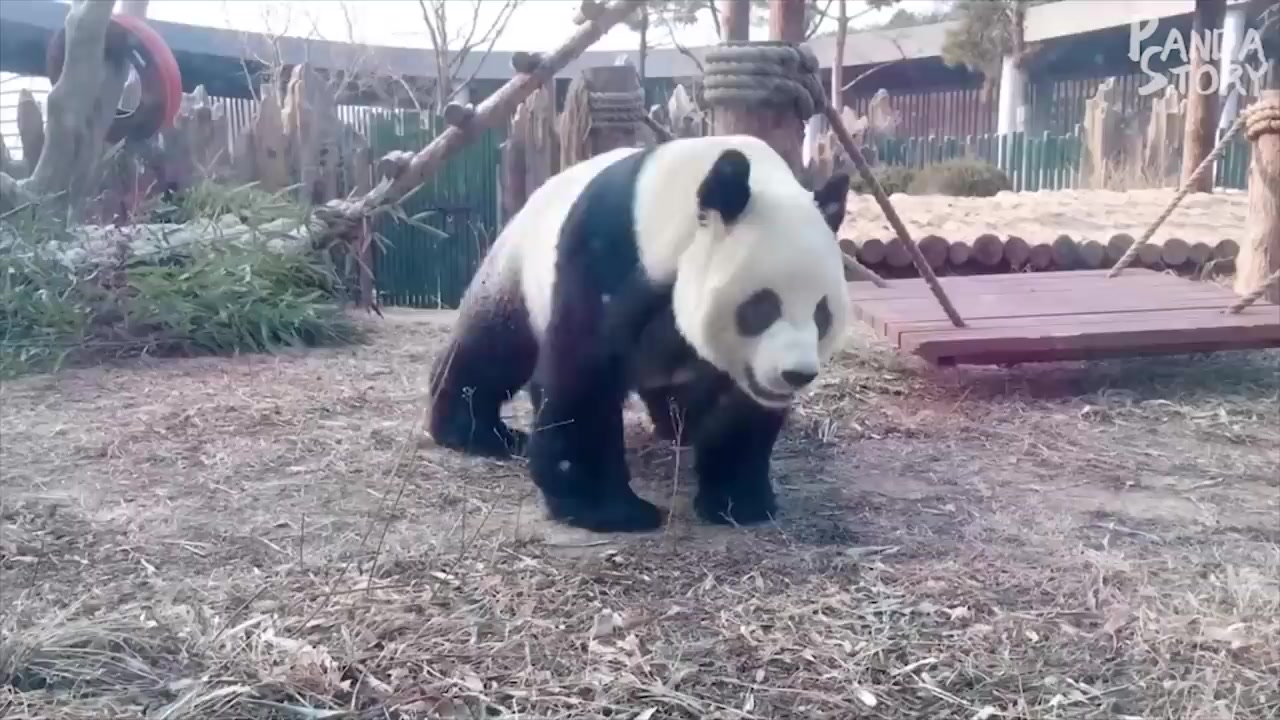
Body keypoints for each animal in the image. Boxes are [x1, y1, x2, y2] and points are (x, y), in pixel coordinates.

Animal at [427, 134, 851, 533]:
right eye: (762, 307)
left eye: (822, 313)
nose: (796, 374)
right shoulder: (610, 256)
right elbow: (583, 372)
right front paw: (608, 510)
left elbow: (741, 408)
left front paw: (739, 501)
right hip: (518, 269)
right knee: (492, 349)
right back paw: (475, 432)